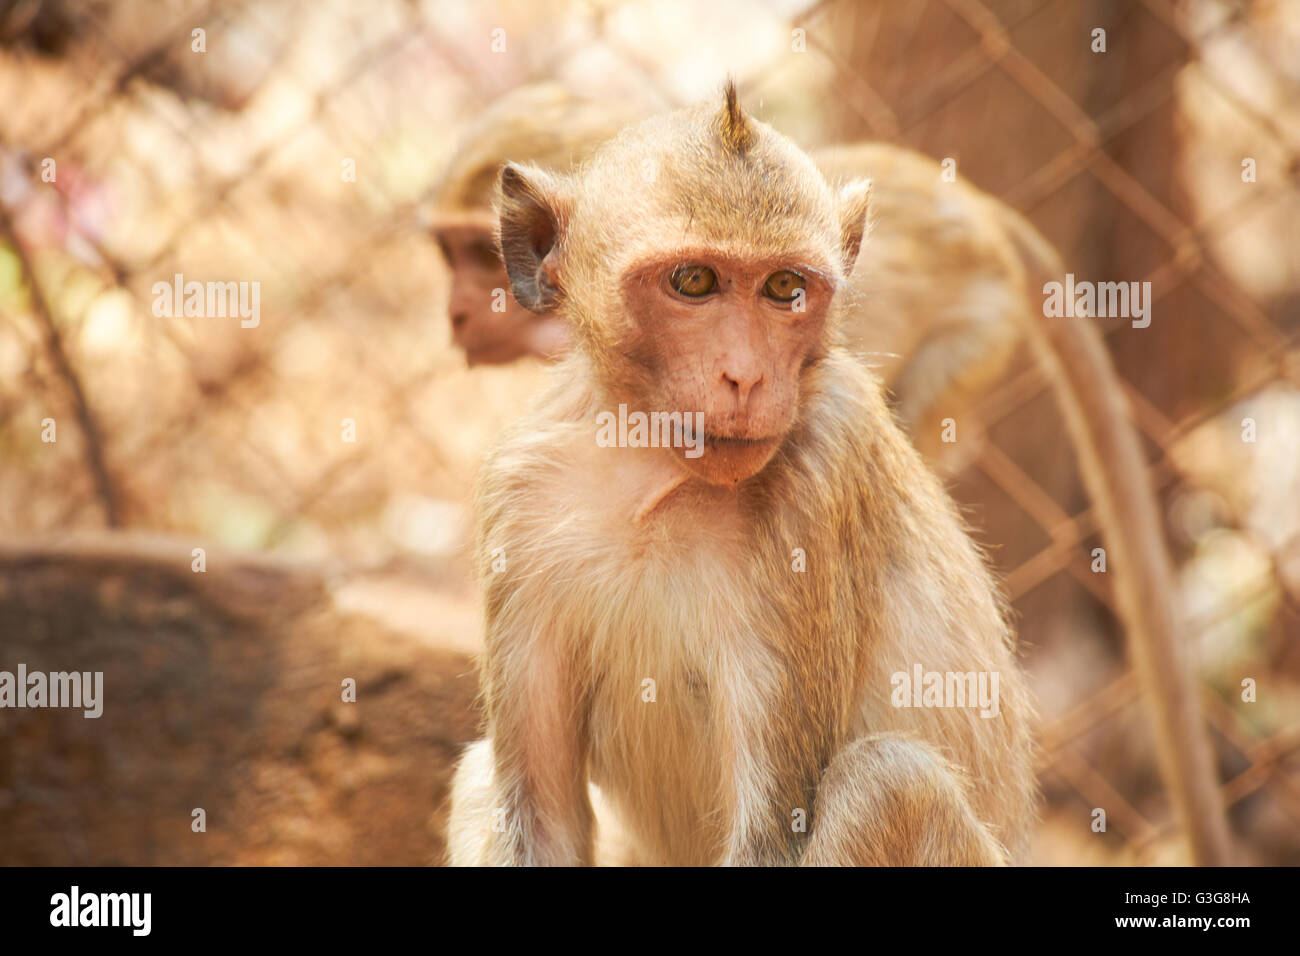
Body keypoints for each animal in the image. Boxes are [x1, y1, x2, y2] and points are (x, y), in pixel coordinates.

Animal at [445, 83, 1037, 867]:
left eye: (785, 287)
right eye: (694, 281)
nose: (747, 376)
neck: (647, 472)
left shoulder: (823, 467)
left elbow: (771, 831)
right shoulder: (516, 490)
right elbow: (537, 817)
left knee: (888, 782)